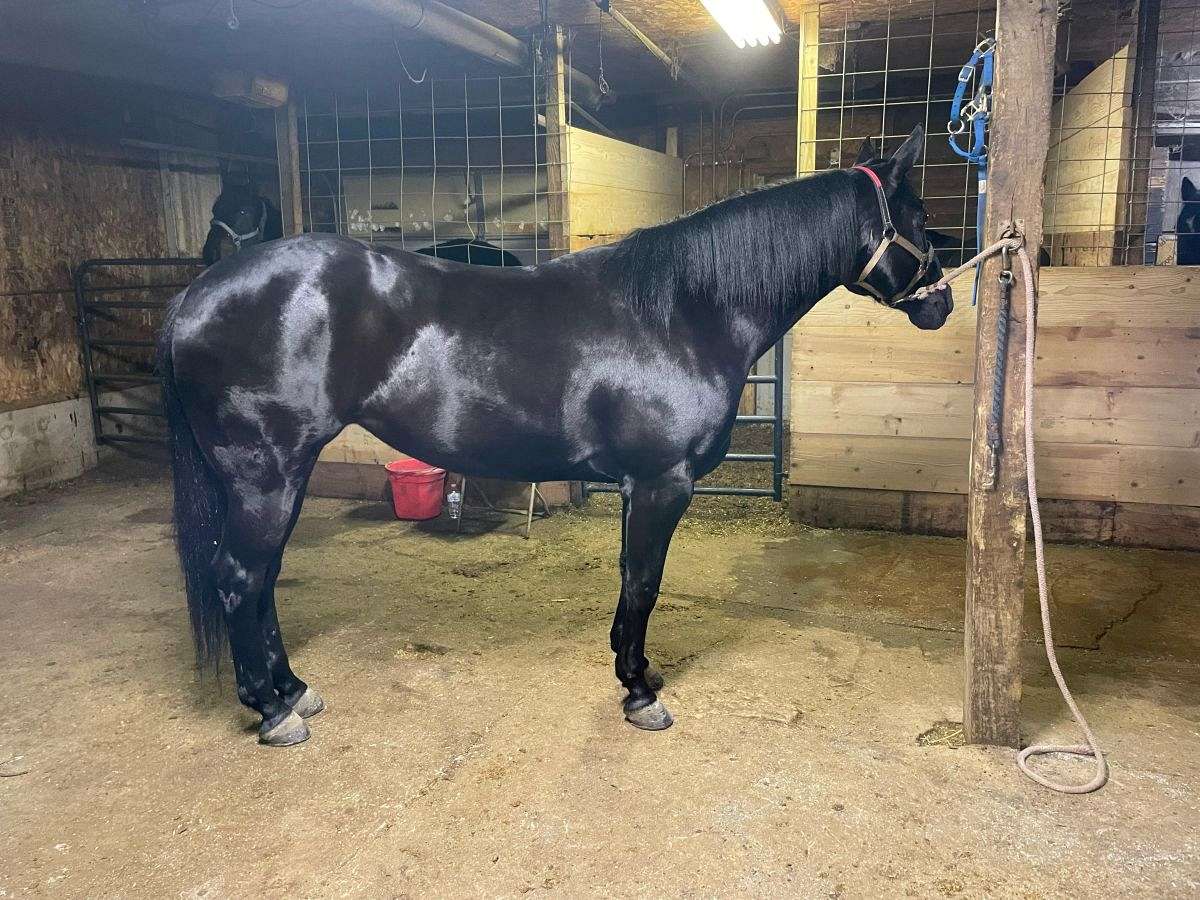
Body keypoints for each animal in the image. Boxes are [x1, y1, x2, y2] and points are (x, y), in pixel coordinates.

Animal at [159, 124, 952, 746]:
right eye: (919, 218)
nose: (941, 303)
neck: (681, 313)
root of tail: (198, 293)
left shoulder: (640, 487)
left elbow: (632, 581)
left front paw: (634, 672)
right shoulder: (662, 483)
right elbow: (643, 582)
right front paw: (640, 692)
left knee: (260, 580)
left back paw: (294, 690)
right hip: (266, 474)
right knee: (240, 578)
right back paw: (273, 712)